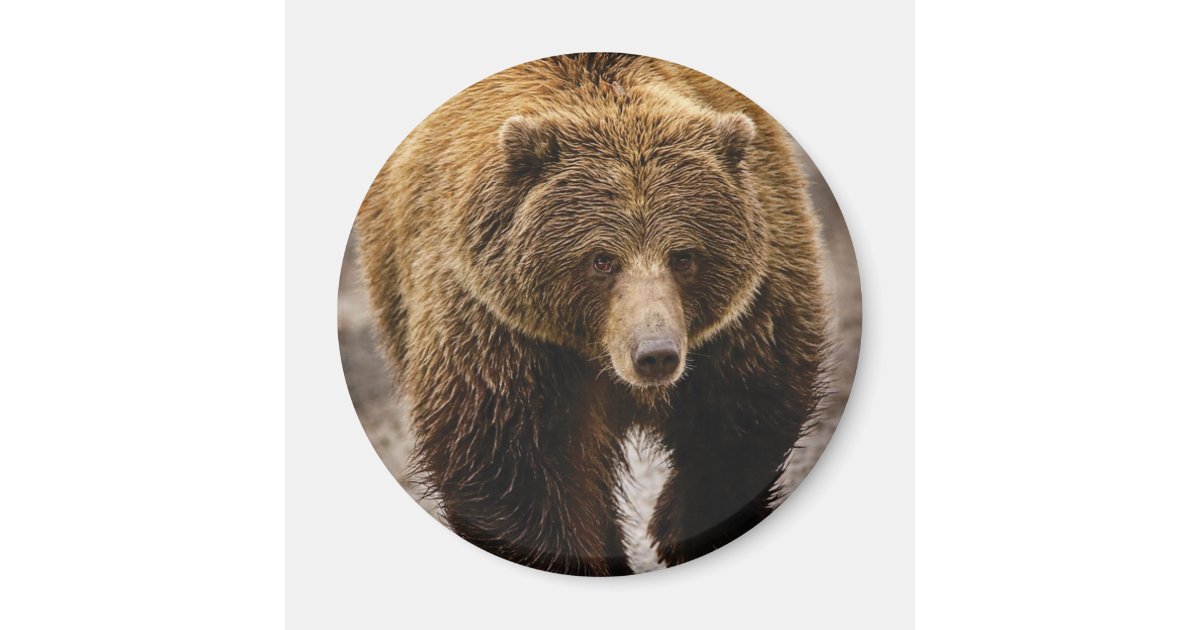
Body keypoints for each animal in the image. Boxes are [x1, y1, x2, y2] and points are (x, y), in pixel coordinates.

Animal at [355, 53, 830, 576]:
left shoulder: (749, 312)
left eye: (684, 256)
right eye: (602, 259)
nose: (655, 354)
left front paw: (680, 530)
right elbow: (509, 468)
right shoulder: (498, 327)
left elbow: (742, 424)